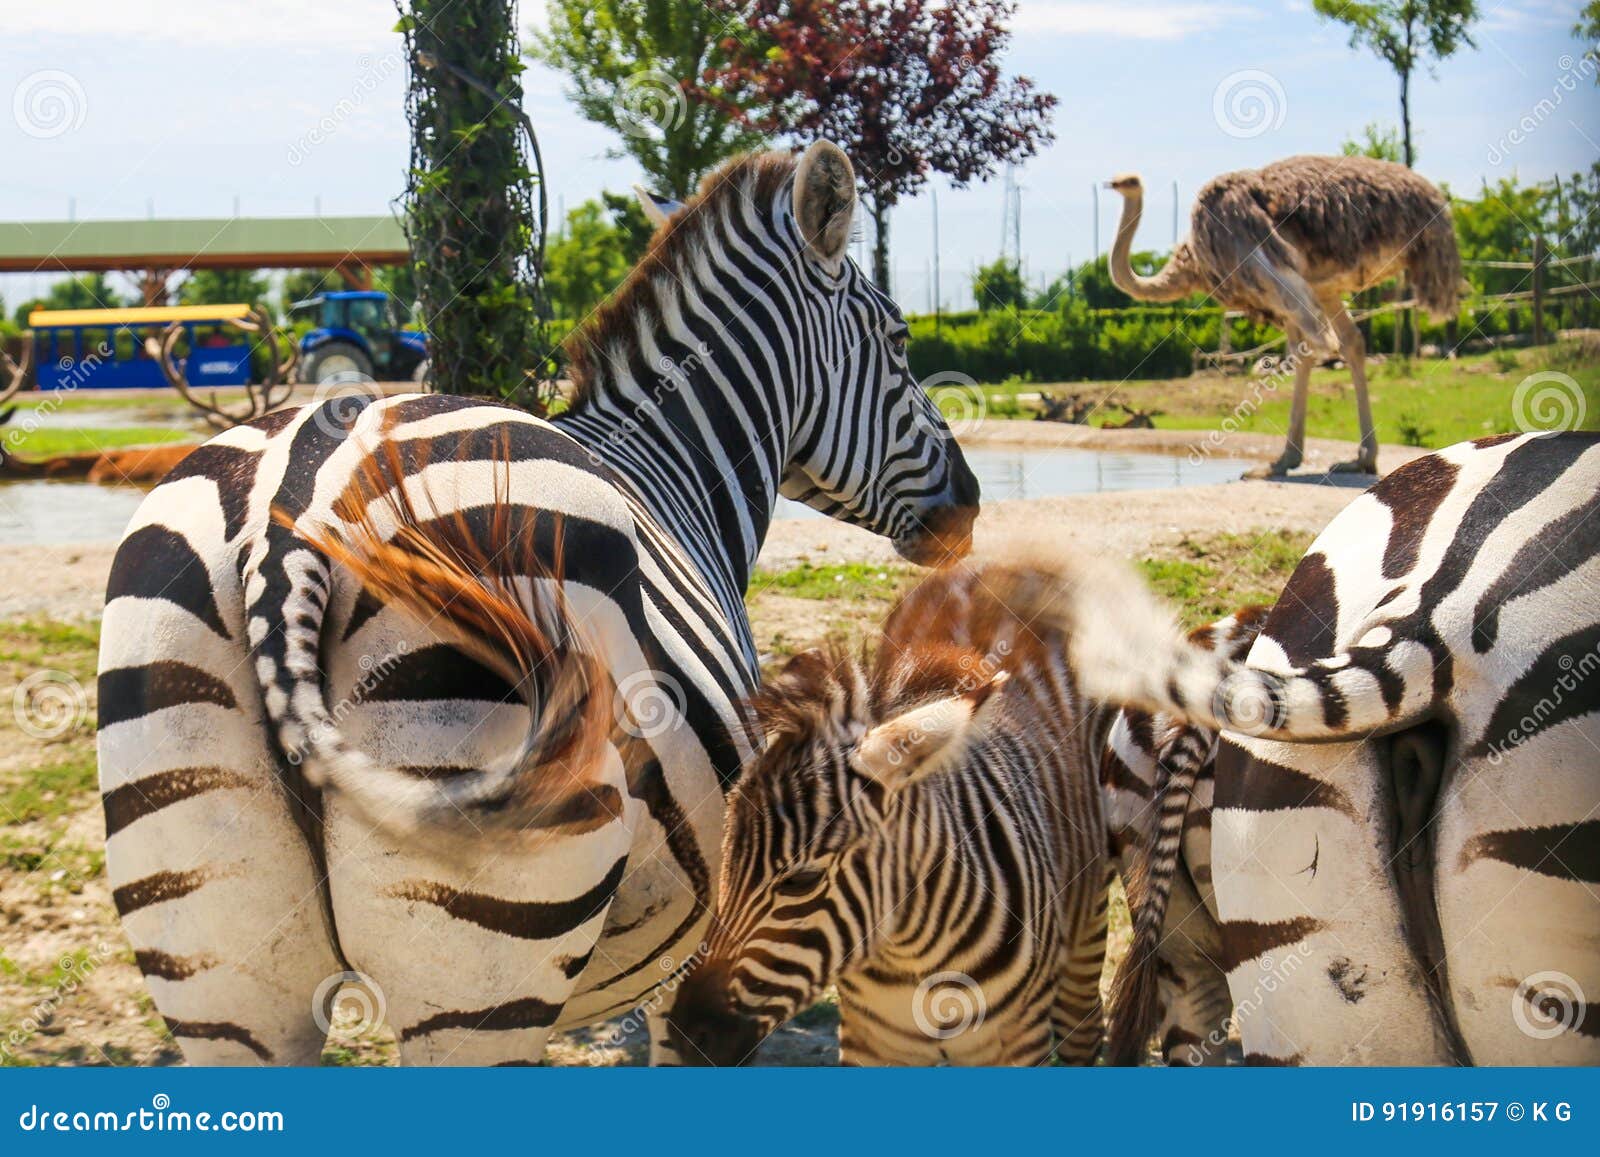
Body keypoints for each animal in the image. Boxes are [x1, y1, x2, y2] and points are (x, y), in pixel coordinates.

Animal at [95, 141, 980, 1067]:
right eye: (899, 338)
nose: (969, 502)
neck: (671, 475)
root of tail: (293, 502)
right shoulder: (699, 940)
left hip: (226, 968)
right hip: (482, 975)